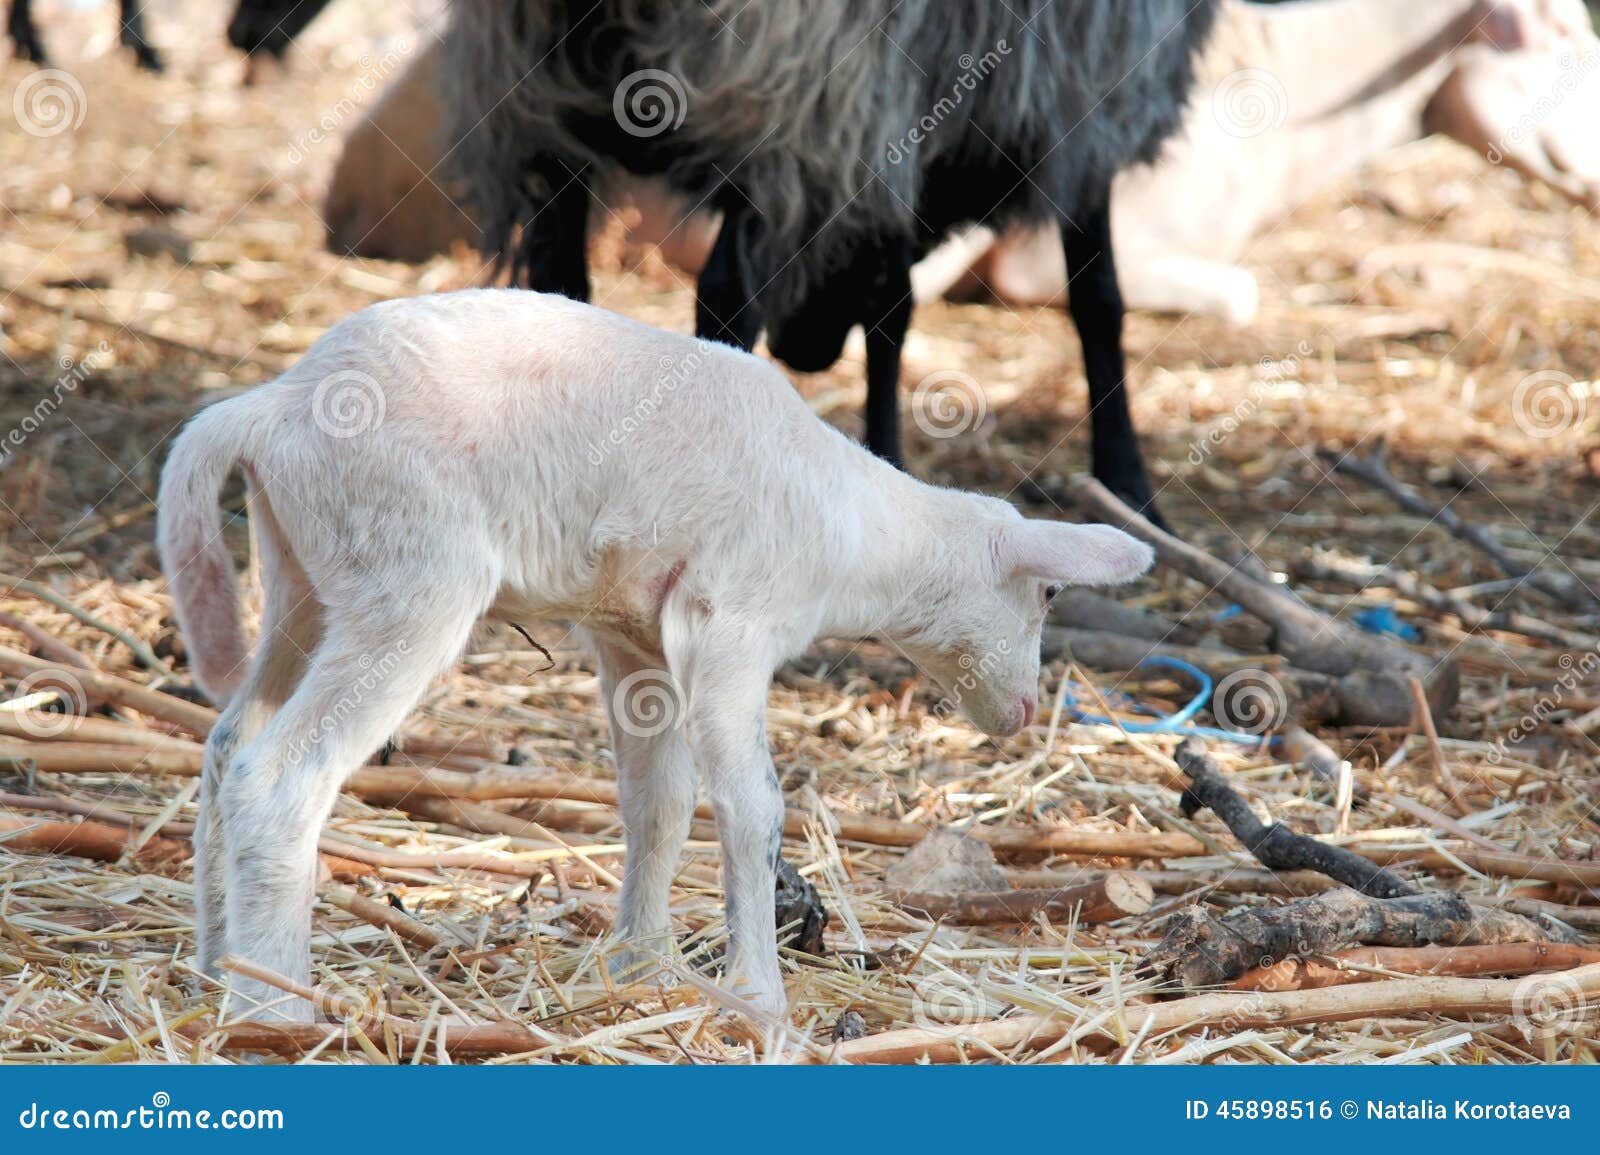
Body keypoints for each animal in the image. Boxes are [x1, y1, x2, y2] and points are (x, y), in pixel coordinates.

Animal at [156, 289, 1153, 1022]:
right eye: (1049, 594)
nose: (1022, 712)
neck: (852, 533)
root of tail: (271, 403)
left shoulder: (631, 633)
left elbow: (659, 802)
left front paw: (644, 962)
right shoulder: (733, 623)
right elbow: (751, 807)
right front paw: (759, 995)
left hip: (306, 576)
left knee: (226, 743)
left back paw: (212, 965)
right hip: (407, 569)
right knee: (281, 772)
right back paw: (273, 1007)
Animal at [443, 0, 1220, 522]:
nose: (806, 350)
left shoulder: (889, 129)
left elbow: (892, 300)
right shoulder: (1089, 99)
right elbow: (1095, 299)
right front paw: (1128, 485)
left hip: (532, 83)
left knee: (561, 286)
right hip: (782, 78)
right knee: (725, 302)